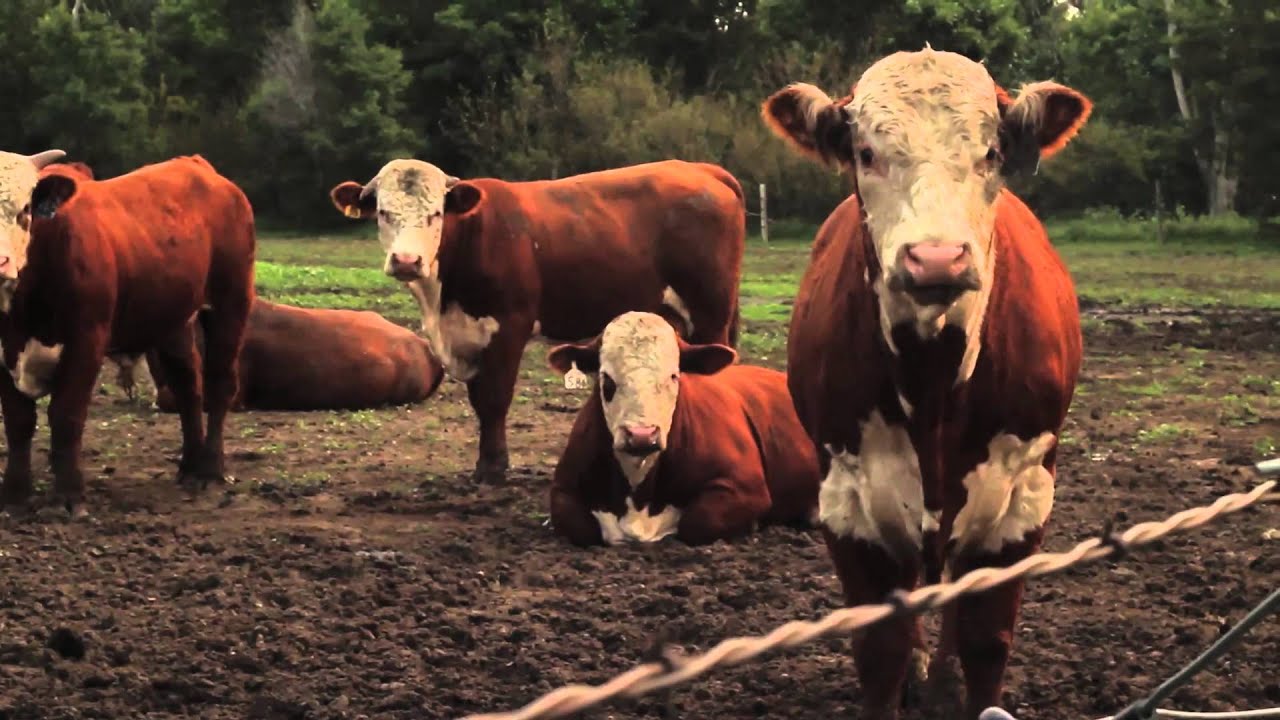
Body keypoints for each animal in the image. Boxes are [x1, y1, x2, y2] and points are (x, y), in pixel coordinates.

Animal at [0, 155, 256, 515]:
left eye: (25, 209)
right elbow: (18, 421)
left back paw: (210, 470)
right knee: (187, 385)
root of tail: (197, 165)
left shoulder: (86, 342)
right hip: (171, 320)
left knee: (219, 382)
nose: (1, 262)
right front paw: (14, 495)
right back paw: (190, 466)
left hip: (230, 303)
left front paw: (69, 495)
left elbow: (66, 415)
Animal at [329, 159, 746, 483]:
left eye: (436, 214)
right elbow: (480, 401)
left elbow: (494, 399)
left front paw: (494, 468)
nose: (406, 261)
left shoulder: (509, 326)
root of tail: (700, 169)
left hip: (710, 313)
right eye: (384, 213)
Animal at [544, 311, 821, 546]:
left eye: (673, 376)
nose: (642, 436)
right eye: (606, 379)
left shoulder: (746, 486)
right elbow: (582, 528)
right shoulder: (563, 489)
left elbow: (697, 522)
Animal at [760, 48, 1091, 719]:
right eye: (866, 152)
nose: (937, 258)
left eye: (992, 152)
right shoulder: (848, 501)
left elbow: (986, 640)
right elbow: (879, 648)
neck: (934, 383)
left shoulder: (1024, 496)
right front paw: (903, 671)